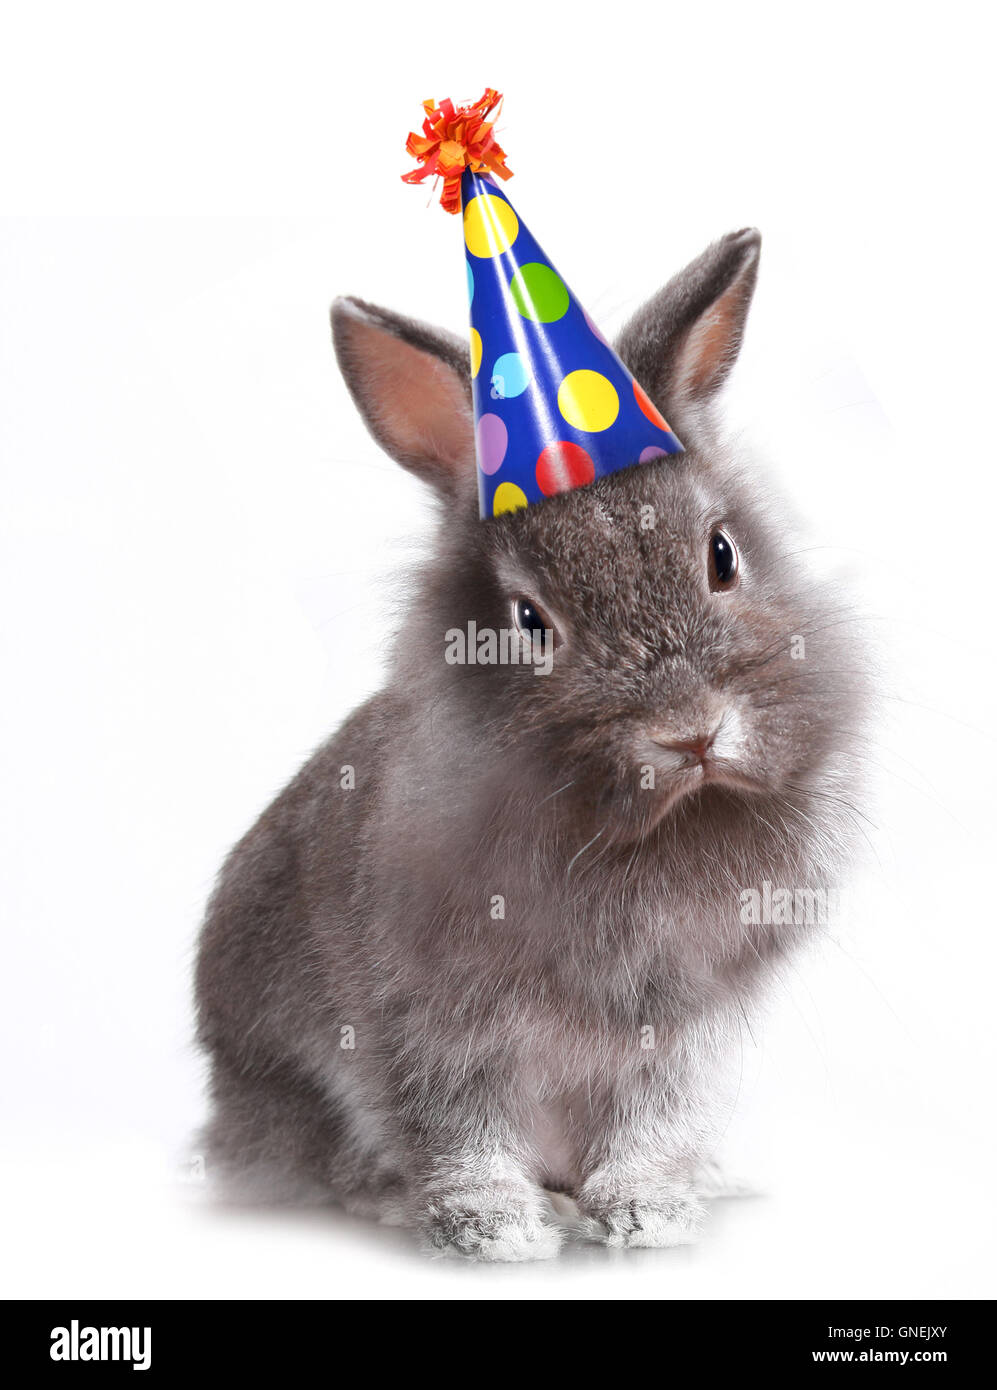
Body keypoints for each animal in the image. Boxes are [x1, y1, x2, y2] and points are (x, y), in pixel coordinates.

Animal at [194, 227, 868, 1261]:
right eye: (524, 620)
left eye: (722, 555)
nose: (690, 733)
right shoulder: (423, 1021)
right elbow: (454, 1123)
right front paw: (491, 1229)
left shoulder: (681, 1029)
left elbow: (652, 1119)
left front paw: (646, 1211)